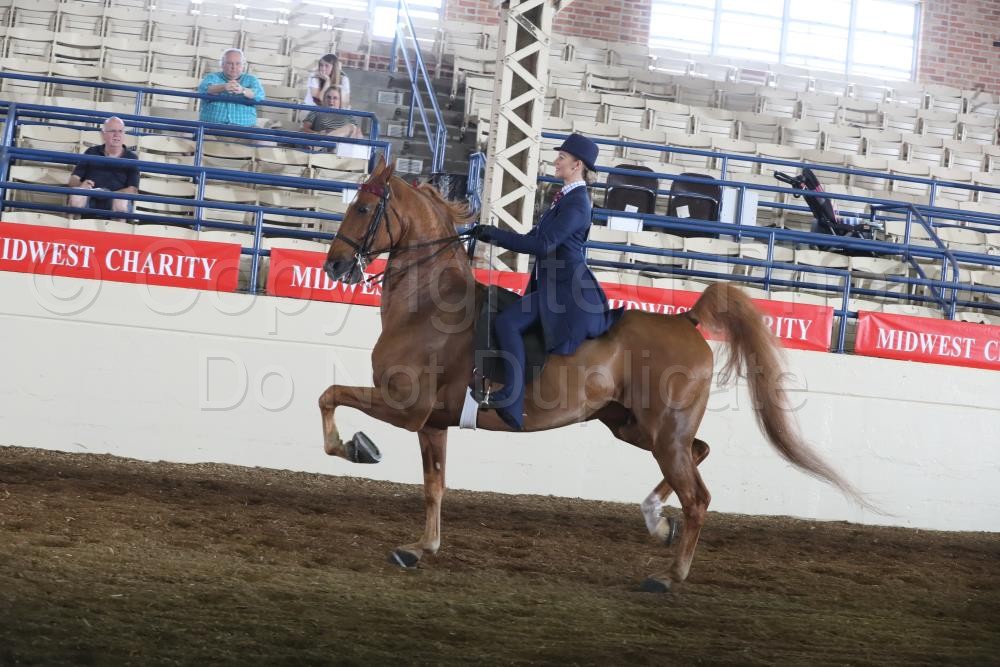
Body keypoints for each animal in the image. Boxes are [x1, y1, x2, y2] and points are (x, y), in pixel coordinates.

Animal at [319, 157, 866, 592]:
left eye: (363, 208)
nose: (335, 266)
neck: (429, 306)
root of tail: (687, 321)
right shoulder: (433, 423)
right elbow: (434, 486)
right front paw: (420, 548)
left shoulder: (406, 407)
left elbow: (329, 395)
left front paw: (357, 448)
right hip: (633, 426)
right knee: (700, 455)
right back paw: (657, 524)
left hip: (660, 433)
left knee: (698, 497)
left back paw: (669, 575)